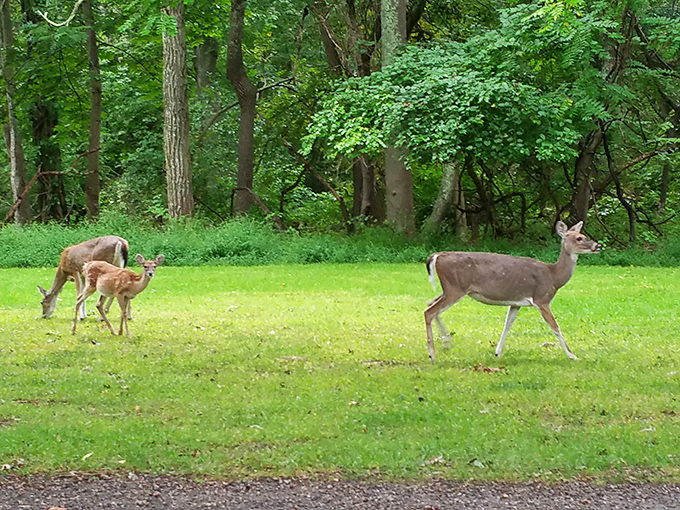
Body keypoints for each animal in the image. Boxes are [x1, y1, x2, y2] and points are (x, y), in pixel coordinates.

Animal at [424, 221, 601, 362]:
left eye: (583, 235)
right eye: (579, 238)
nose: (597, 246)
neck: (554, 276)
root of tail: (436, 256)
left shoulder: (516, 302)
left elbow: (507, 324)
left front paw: (497, 353)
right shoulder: (541, 299)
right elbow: (555, 327)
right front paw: (572, 356)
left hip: (449, 288)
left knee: (429, 303)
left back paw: (445, 343)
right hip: (455, 288)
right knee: (429, 311)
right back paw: (432, 355)